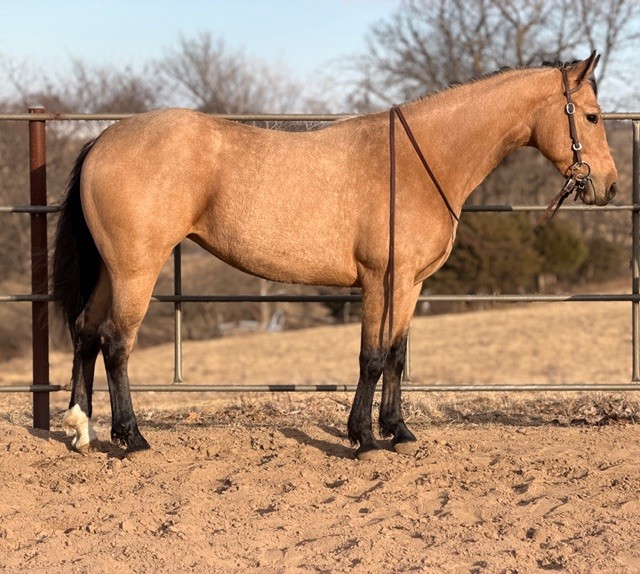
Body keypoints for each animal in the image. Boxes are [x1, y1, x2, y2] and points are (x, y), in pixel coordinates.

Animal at [53, 52, 617, 459]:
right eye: (590, 116)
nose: (609, 187)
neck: (419, 160)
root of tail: (103, 138)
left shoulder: (409, 283)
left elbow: (396, 354)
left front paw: (398, 431)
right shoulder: (381, 280)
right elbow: (371, 357)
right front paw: (363, 439)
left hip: (112, 271)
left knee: (85, 331)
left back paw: (81, 429)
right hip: (136, 270)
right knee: (116, 343)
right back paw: (131, 438)